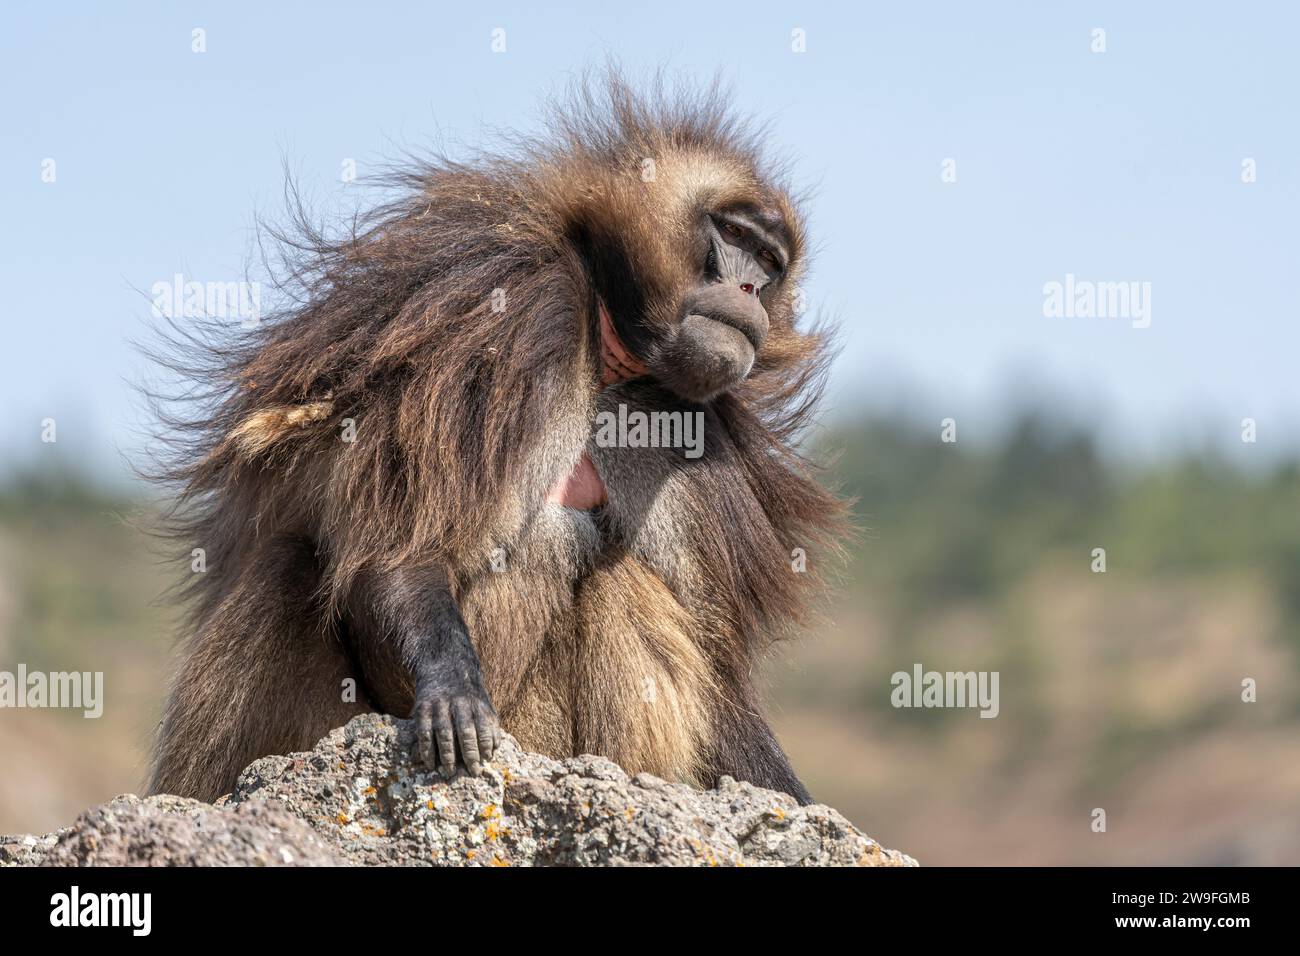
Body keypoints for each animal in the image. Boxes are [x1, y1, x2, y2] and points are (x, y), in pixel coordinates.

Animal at [144, 72, 849, 806]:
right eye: (732, 233)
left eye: (769, 261)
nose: (748, 288)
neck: (606, 342)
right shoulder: (517, 311)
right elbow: (405, 544)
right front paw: (450, 681)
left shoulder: (677, 421)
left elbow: (719, 674)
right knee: (290, 565)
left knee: (614, 576)